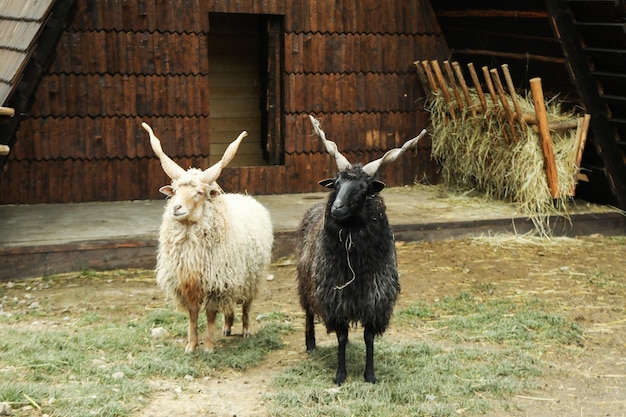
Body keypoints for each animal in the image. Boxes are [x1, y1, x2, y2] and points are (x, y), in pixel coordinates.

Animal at [143, 122, 272, 352]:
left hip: (251, 276)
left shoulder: (215, 282)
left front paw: (210, 346)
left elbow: (211, 314)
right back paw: (227, 328)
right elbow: (193, 314)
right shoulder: (189, 282)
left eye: (199, 193)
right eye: (174, 191)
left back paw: (246, 329)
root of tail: (245, 196)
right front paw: (191, 345)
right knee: (230, 307)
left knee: (247, 304)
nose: (176, 208)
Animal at [296, 115, 424, 386]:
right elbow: (342, 339)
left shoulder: (375, 302)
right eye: (336, 184)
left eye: (364, 189)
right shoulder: (336, 301)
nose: (337, 208)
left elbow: (368, 340)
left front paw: (370, 375)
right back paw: (310, 342)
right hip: (306, 282)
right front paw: (340, 375)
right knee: (309, 312)